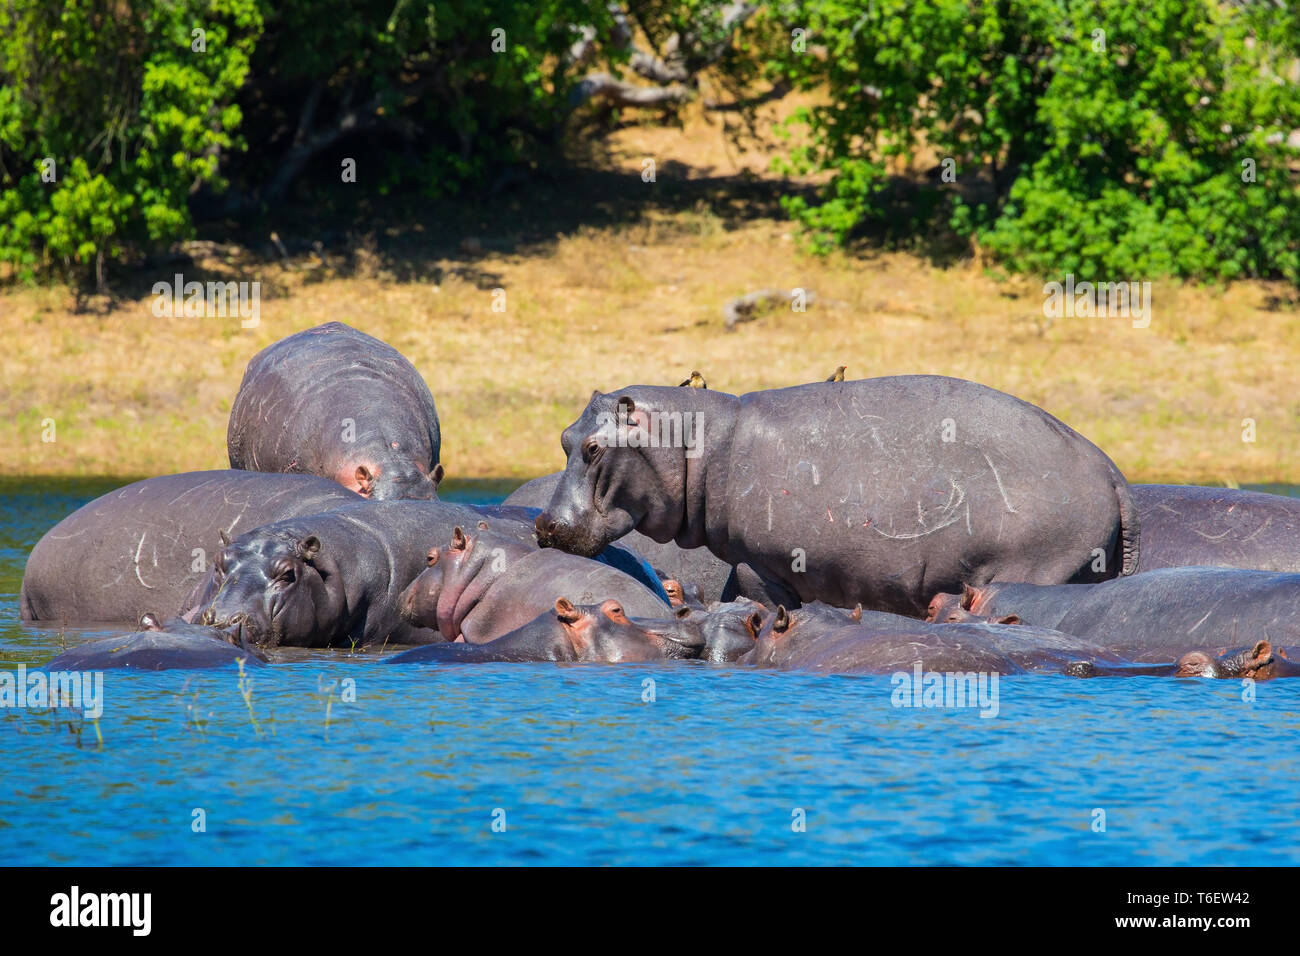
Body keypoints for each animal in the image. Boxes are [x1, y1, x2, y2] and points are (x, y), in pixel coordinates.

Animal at [535, 377, 1139, 615]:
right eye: (563, 437)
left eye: (593, 447)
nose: (544, 525)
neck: (695, 443)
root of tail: (1113, 473)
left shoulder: (762, 562)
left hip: (1041, 565)